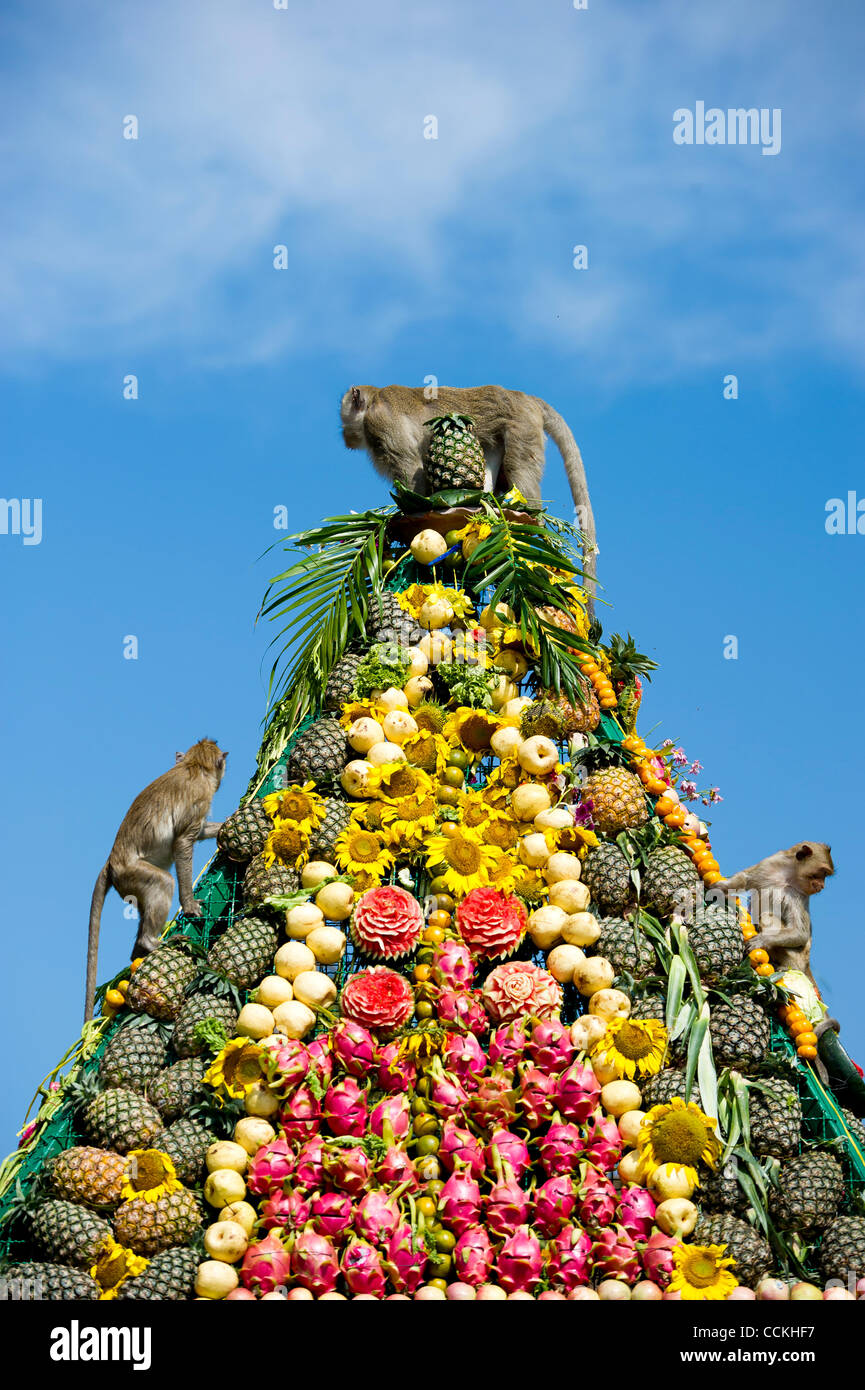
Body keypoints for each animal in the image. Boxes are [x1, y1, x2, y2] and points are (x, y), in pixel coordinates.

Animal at [85, 739, 227, 1020]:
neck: (194, 765)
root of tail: (111, 862)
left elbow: (199, 832)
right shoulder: (200, 797)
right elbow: (184, 841)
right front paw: (190, 904)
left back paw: (139, 952)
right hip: (135, 873)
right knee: (163, 882)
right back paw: (150, 943)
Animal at [340, 384, 597, 609]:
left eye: (344, 419)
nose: (343, 435)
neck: (373, 400)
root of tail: (523, 396)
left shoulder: (380, 423)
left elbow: (410, 470)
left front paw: (407, 513)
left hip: (522, 426)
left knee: (519, 468)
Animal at [716, 841, 838, 1036]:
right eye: (823, 873)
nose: (822, 885)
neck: (788, 877)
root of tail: (806, 964)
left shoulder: (797, 895)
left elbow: (800, 932)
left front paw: (762, 941)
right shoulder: (769, 864)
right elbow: (745, 878)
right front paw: (722, 886)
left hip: (795, 957)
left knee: (768, 916)